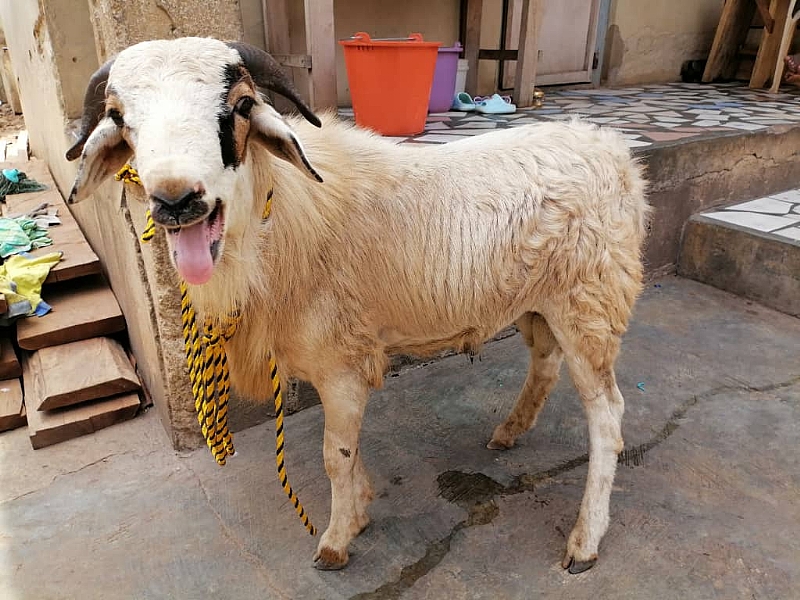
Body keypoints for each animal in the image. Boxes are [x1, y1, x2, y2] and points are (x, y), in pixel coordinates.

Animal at [66, 36, 649, 574]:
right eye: (119, 118)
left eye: (241, 105)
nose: (176, 201)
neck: (280, 212)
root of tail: (614, 149)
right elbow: (347, 455)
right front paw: (361, 508)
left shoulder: (340, 362)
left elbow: (334, 456)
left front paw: (336, 539)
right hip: (542, 303)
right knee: (545, 364)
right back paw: (508, 433)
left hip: (592, 303)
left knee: (607, 417)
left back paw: (584, 542)